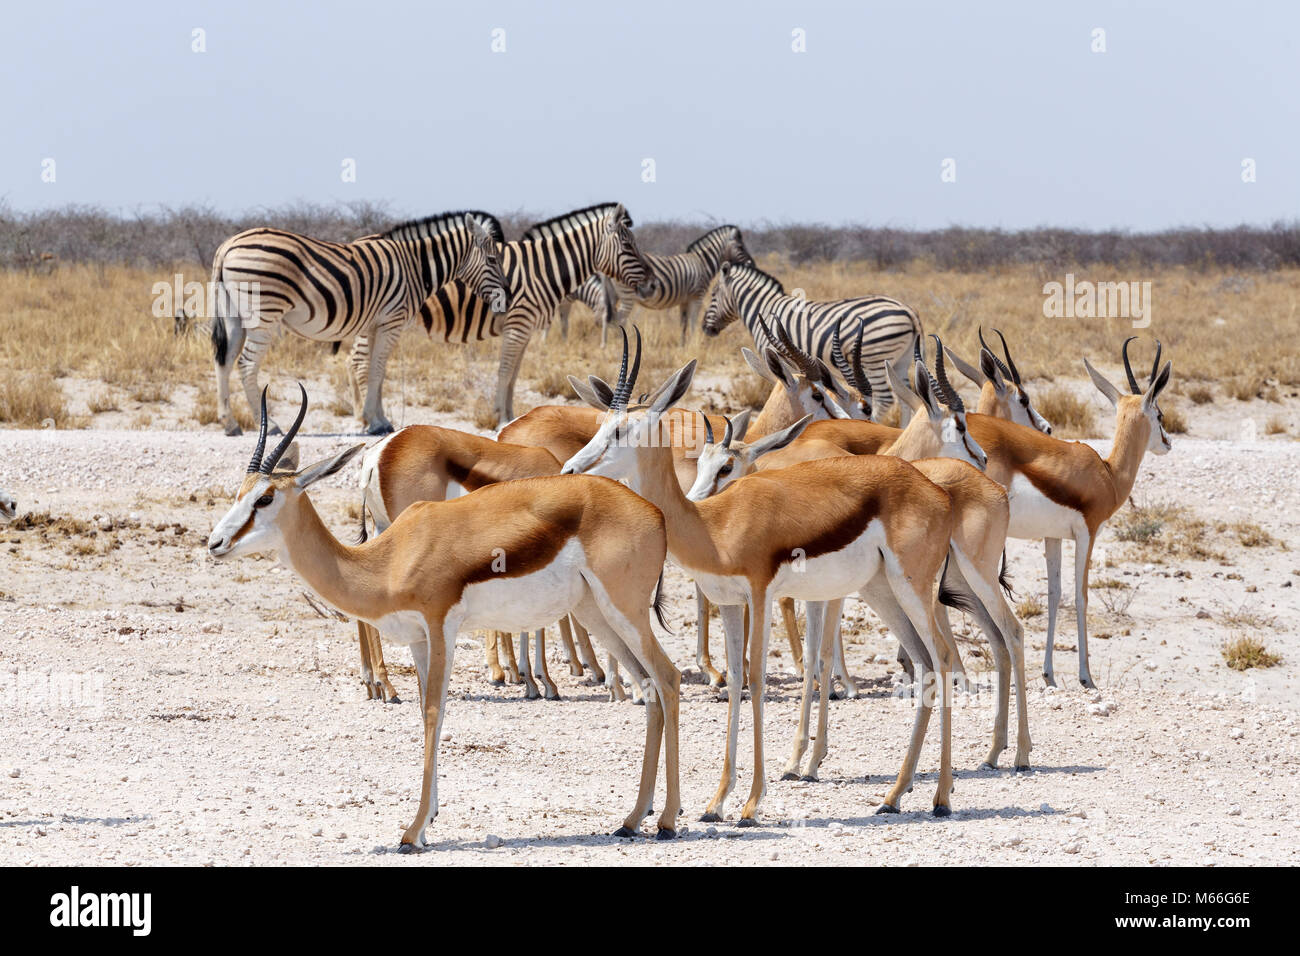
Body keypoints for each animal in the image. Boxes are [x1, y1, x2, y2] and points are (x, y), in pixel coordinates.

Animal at [207, 386, 682, 847]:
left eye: (265, 497)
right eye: (239, 492)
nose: (215, 543)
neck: (389, 560)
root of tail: (655, 512)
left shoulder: (441, 630)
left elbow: (436, 712)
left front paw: (413, 831)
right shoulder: (419, 640)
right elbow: (423, 711)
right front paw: (427, 818)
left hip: (626, 611)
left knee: (668, 677)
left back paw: (667, 821)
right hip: (596, 614)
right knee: (648, 688)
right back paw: (632, 819)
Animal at [209, 210, 509, 436]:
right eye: (493, 259)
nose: (507, 297)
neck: (415, 266)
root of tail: (226, 246)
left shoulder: (375, 325)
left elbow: (378, 371)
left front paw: (378, 419)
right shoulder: (391, 322)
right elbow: (376, 370)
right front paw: (375, 423)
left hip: (234, 315)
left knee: (224, 362)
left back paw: (230, 424)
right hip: (264, 314)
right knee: (246, 365)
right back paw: (269, 425)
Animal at [351, 202, 651, 427]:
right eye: (628, 247)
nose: (651, 285)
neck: (543, 269)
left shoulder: (527, 330)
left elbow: (514, 376)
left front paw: (511, 415)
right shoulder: (518, 325)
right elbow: (505, 372)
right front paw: (501, 419)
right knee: (360, 363)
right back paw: (366, 418)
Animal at [562, 341, 963, 822]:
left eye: (622, 430)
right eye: (600, 423)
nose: (570, 469)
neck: (712, 526)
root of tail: (937, 492)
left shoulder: (761, 595)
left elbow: (756, 679)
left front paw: (752, 802)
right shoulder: (731, 603)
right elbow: (735, 679)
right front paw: (717, 801)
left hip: (912, 587)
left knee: (943, 657)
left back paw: (941, 797)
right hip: (880, 590)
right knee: (923, 662)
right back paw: (895, 794)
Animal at [701, 260, 922, 419]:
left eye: (713, 294)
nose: (706, 328)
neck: (764, 307)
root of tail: (910, 312)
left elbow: (778, 382)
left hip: (874, 360)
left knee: (885, 399)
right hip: (900, 362)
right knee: (905, 399)